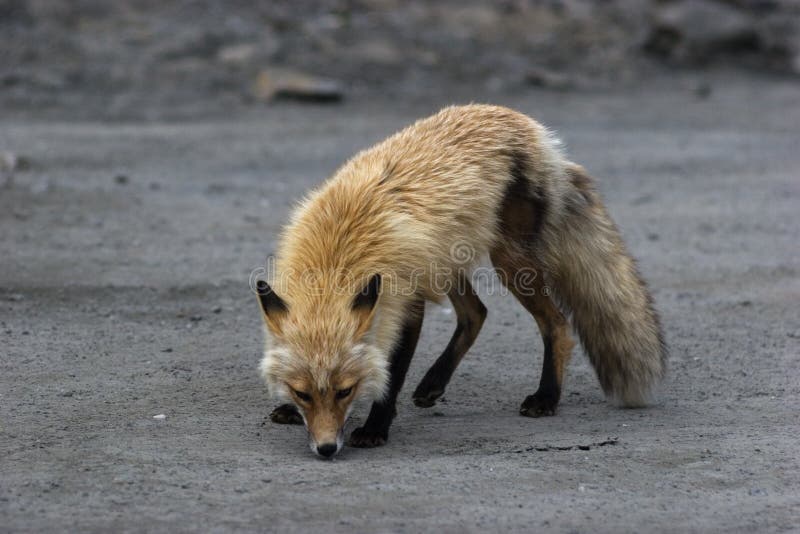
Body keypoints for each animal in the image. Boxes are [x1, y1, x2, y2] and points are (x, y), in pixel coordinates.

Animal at [255, 104, 666, 458]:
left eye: (345, 391)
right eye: (303, 393)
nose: (326, 449)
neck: (338, 249)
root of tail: (532, 130)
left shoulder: (405, 301)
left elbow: (393, 371)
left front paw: (375, 428)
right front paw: (290, 412)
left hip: (508, 261)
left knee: (556, 324)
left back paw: (546, 397)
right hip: (446, 258)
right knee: (476, 314)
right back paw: (434, 383)